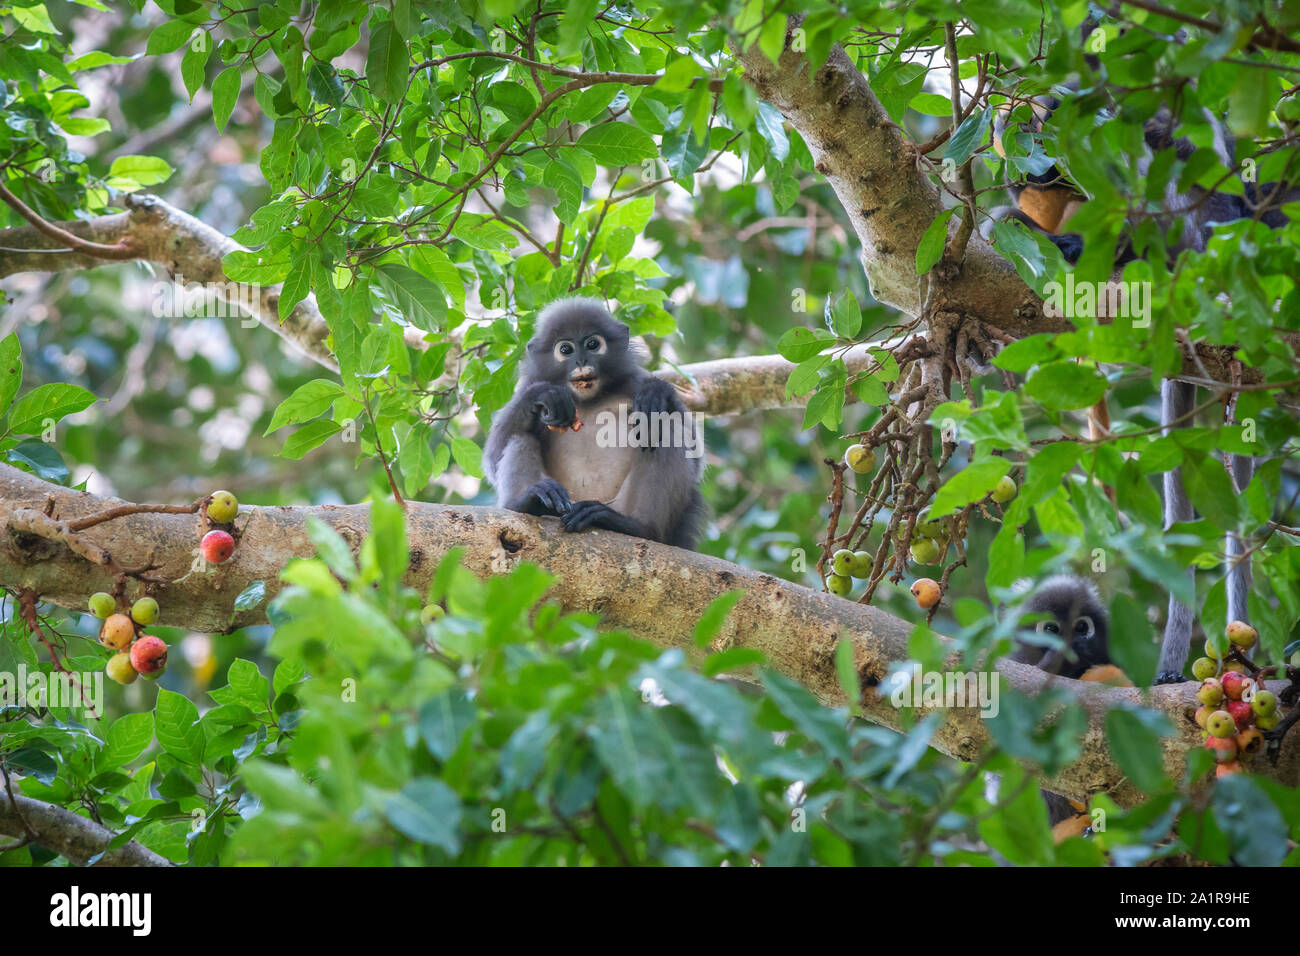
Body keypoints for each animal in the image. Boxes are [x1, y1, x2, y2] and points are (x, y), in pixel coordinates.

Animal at [483, 297, 707, 549]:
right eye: (566, 349)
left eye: (592, 344)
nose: (581, 360)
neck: (588, 400)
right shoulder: (528, 385)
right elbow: (493, 456)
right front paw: (545, 394)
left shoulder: (634, 381)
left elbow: (695, 455)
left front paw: (657, 391)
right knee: (521, 438)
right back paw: (529, 502)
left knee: (662, 430)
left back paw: (633, 525)